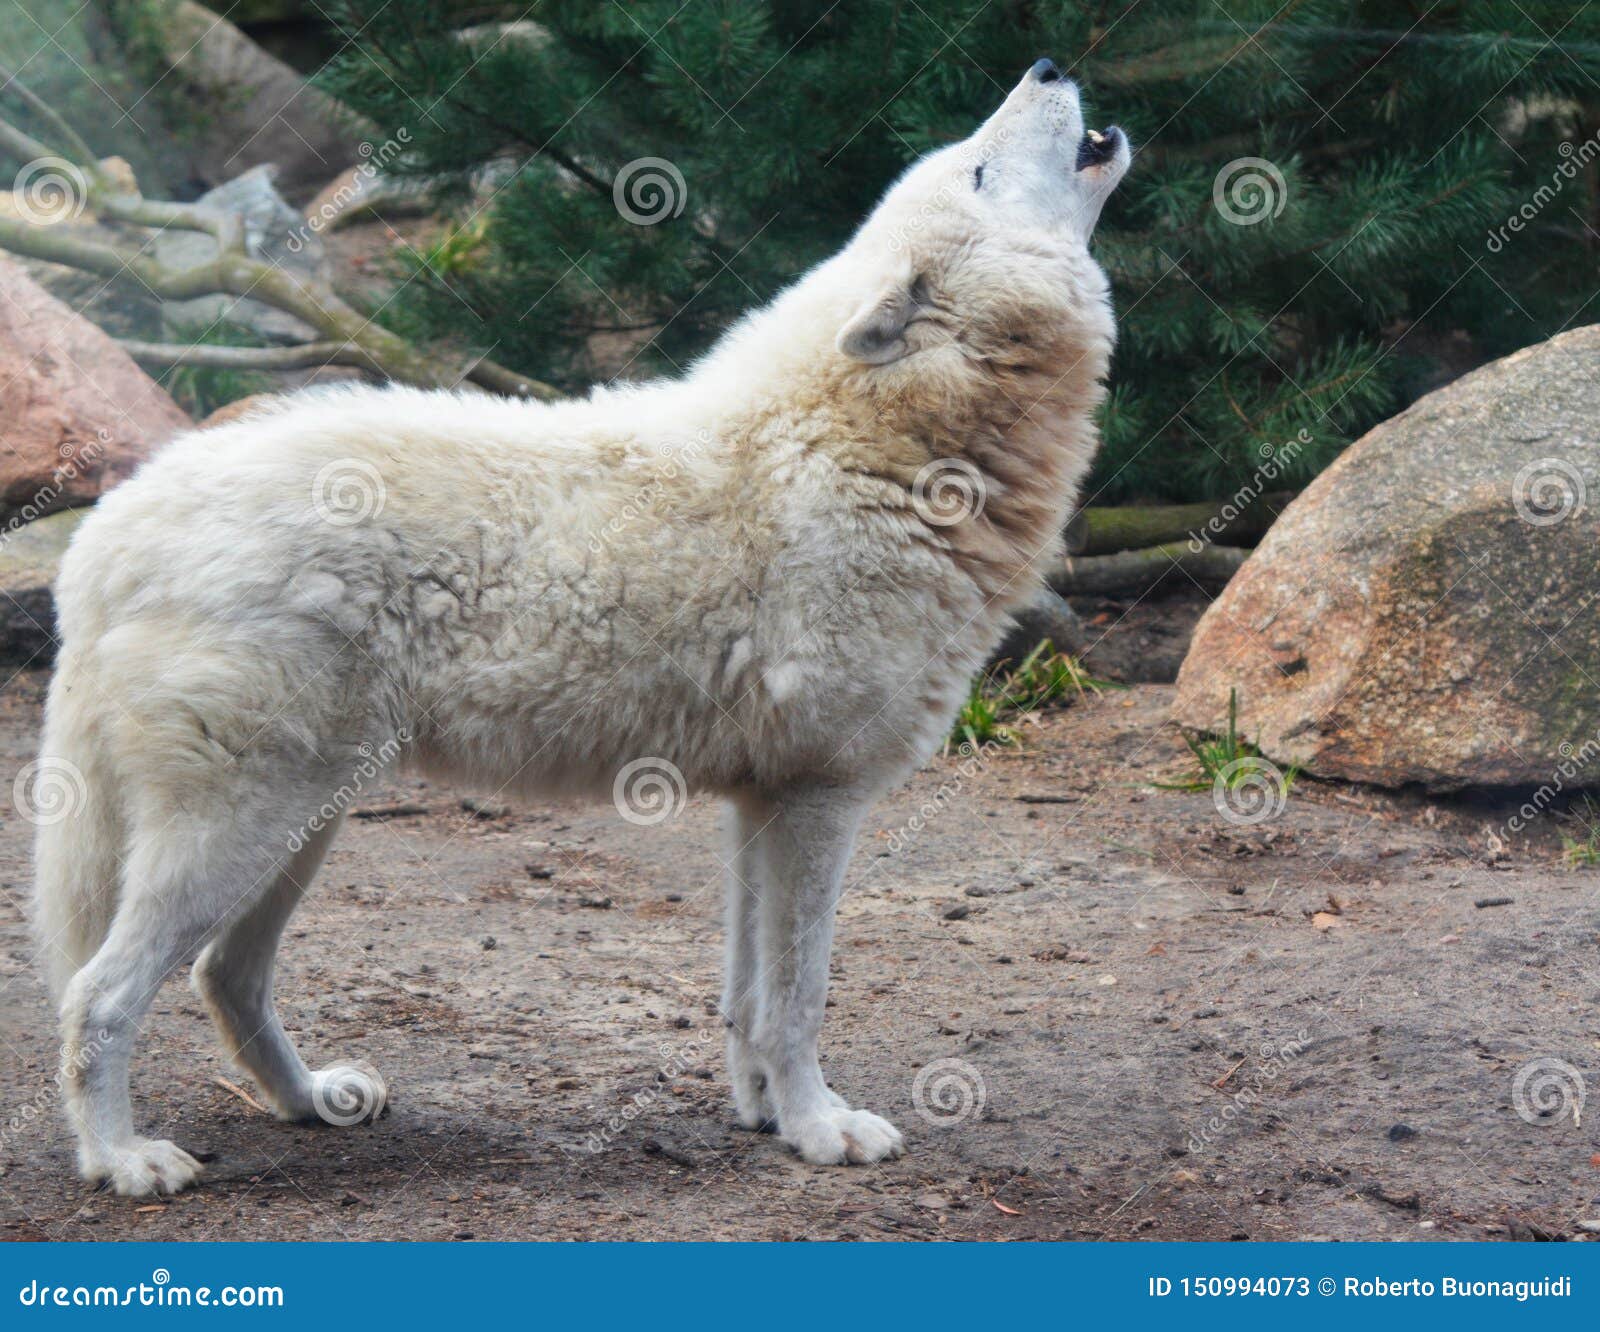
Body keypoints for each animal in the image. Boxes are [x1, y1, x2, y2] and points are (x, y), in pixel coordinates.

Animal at [31, 59, 1129, 1195]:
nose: (1046, 67)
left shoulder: (760, 803)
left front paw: (762, 1117)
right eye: (978, 168)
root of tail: (110, 533)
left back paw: (313, 1104)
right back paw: (121, 1159)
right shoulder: (819, 800)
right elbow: (798, 998)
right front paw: (822, 1130)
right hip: (240, 830)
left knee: (225, 978)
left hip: (300, 825)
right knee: (99, 994)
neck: (876, 447)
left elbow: (745, 999)